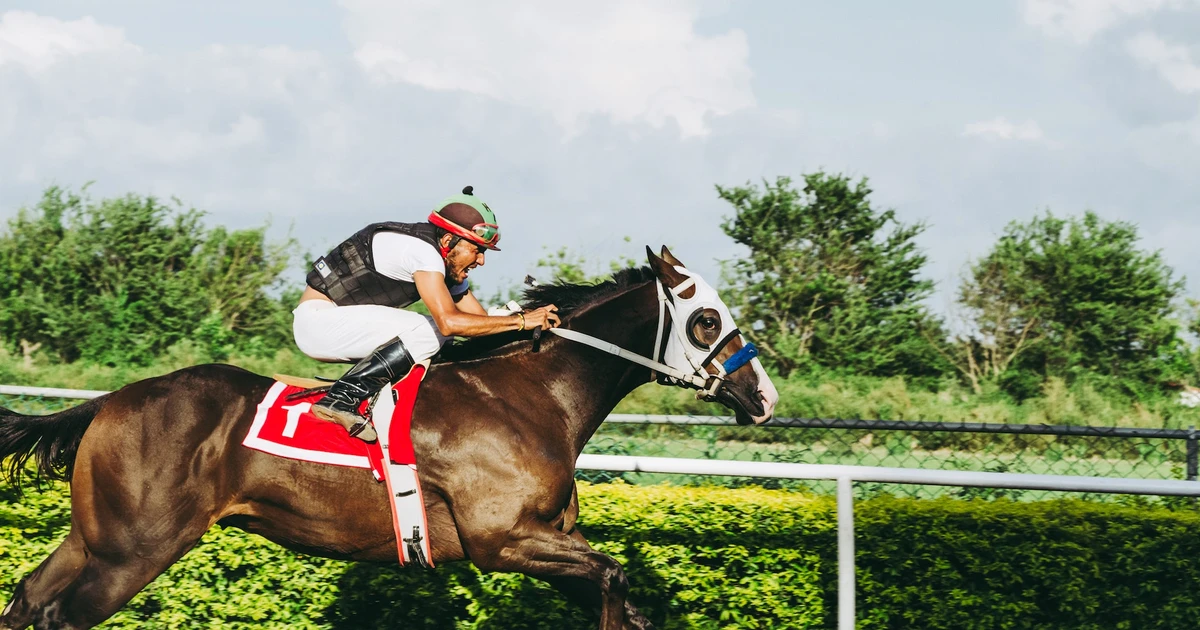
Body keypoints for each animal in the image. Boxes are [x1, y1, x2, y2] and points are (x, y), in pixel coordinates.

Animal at [0, 246, 779, 630]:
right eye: (706, 319)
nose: (764, 396)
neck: (531, 396)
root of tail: (111, 401)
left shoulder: (553, 541)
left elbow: (625, 597)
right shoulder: (503, 541)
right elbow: (616, 578)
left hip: (96, 536)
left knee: (30, 597)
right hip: (136, 548)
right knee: (62, 615)